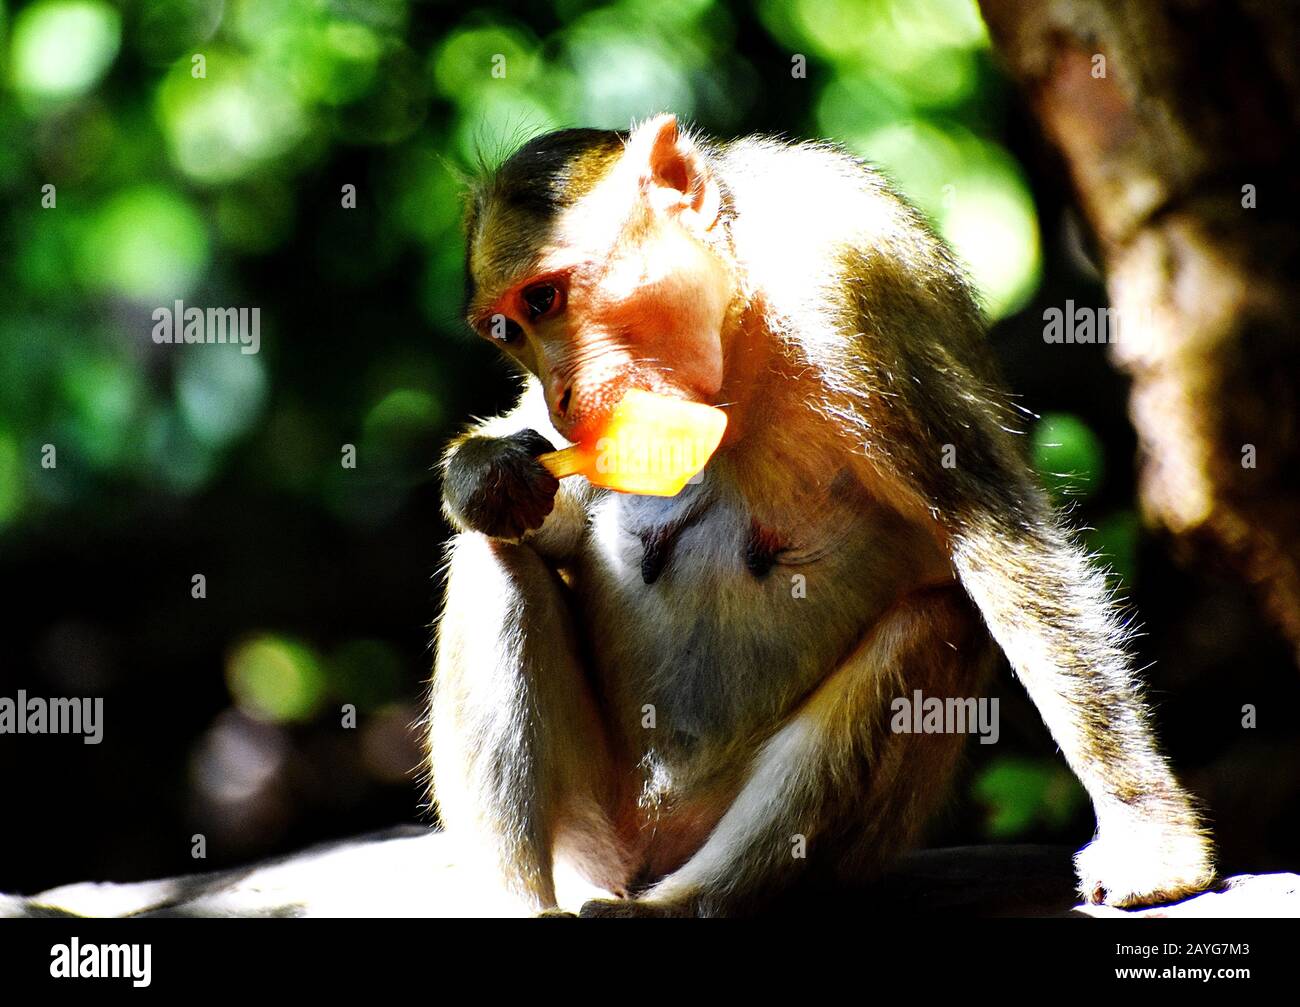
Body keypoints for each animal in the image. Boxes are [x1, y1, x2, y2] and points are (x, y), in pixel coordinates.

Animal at [426, 114, 1215, 917]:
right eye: (507, 330)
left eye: (545, 300)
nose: (561, 398)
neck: (741, 324)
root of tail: (644, 857)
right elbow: (542, 511)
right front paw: (488, 473)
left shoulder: (853, 281)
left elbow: (993, 538)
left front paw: (1151, 838)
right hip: (590, 828)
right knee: (494, 556)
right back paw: (520, 901)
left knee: (931, 626)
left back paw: (692, 901)